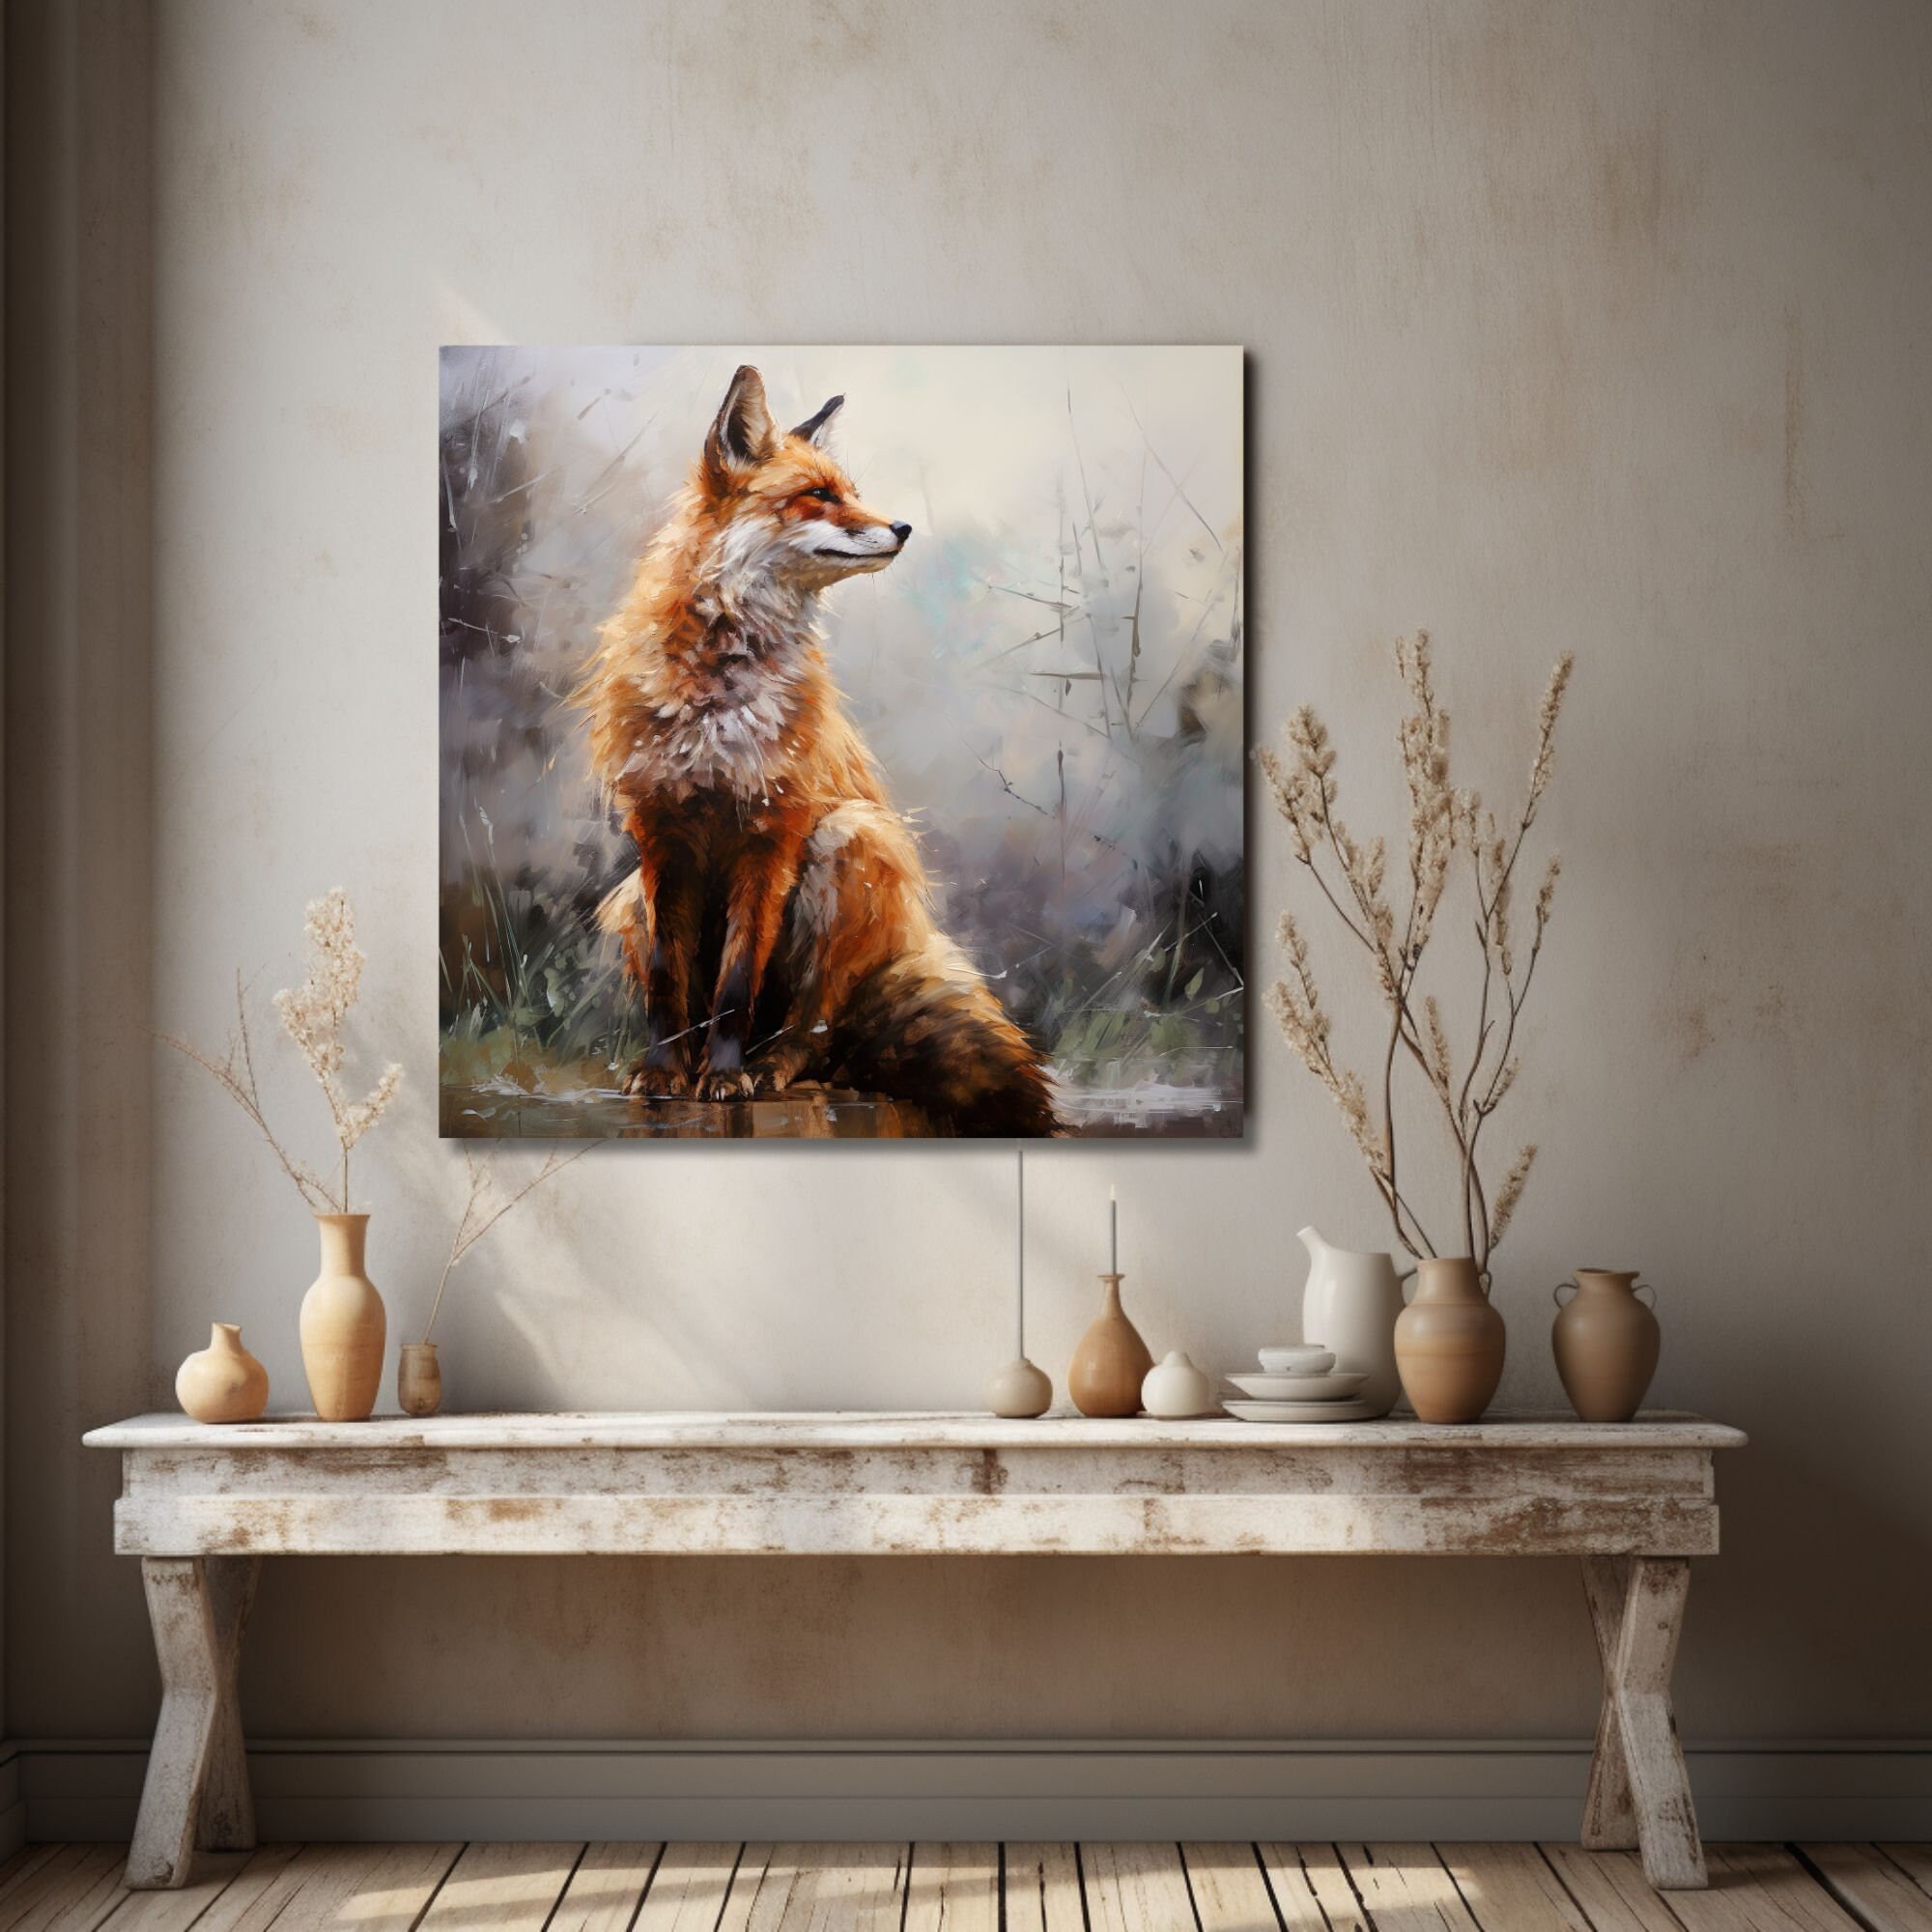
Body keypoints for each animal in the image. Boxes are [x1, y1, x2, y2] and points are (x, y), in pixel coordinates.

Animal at [579, 364, 1058, 1136]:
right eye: (819, 495)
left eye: (851, 491)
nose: (902, 527)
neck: (722, 692)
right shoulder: (660, 830)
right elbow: (666, 980)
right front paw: (664, 1074)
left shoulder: (773, 829)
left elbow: (735, 987)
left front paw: (725, 1078)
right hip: (627, 900)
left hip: (851, 840)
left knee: (814, 1033)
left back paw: (767, 1067)